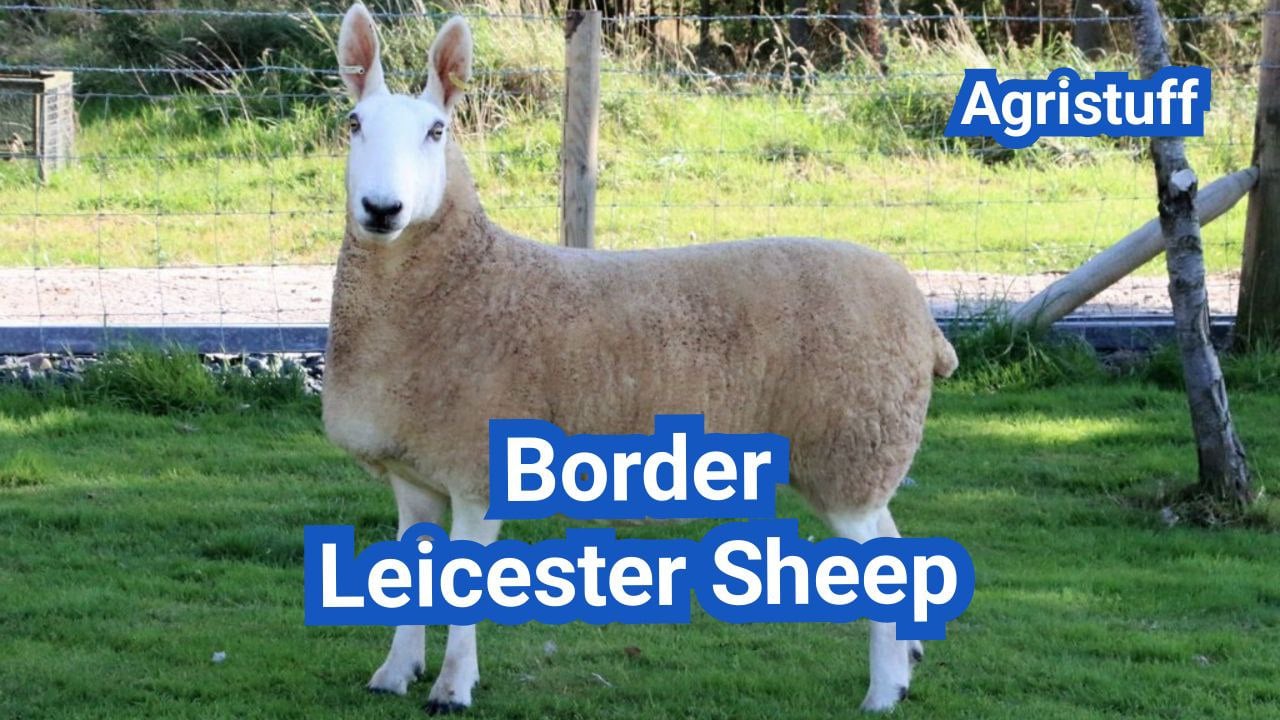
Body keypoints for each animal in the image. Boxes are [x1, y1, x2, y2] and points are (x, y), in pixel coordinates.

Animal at [323, 3, 958, 714]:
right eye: (354, 124)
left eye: (438, 131)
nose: (382, 209)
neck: (464, 281)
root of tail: (922, 315)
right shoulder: (415, 472)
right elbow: (409, 580)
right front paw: (394, 672)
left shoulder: (477, 471)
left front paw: (453, 688)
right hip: (859, 457)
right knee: (894, 542)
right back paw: (907, 660)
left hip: (851, 444)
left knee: (883, 561)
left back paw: (883, 690)